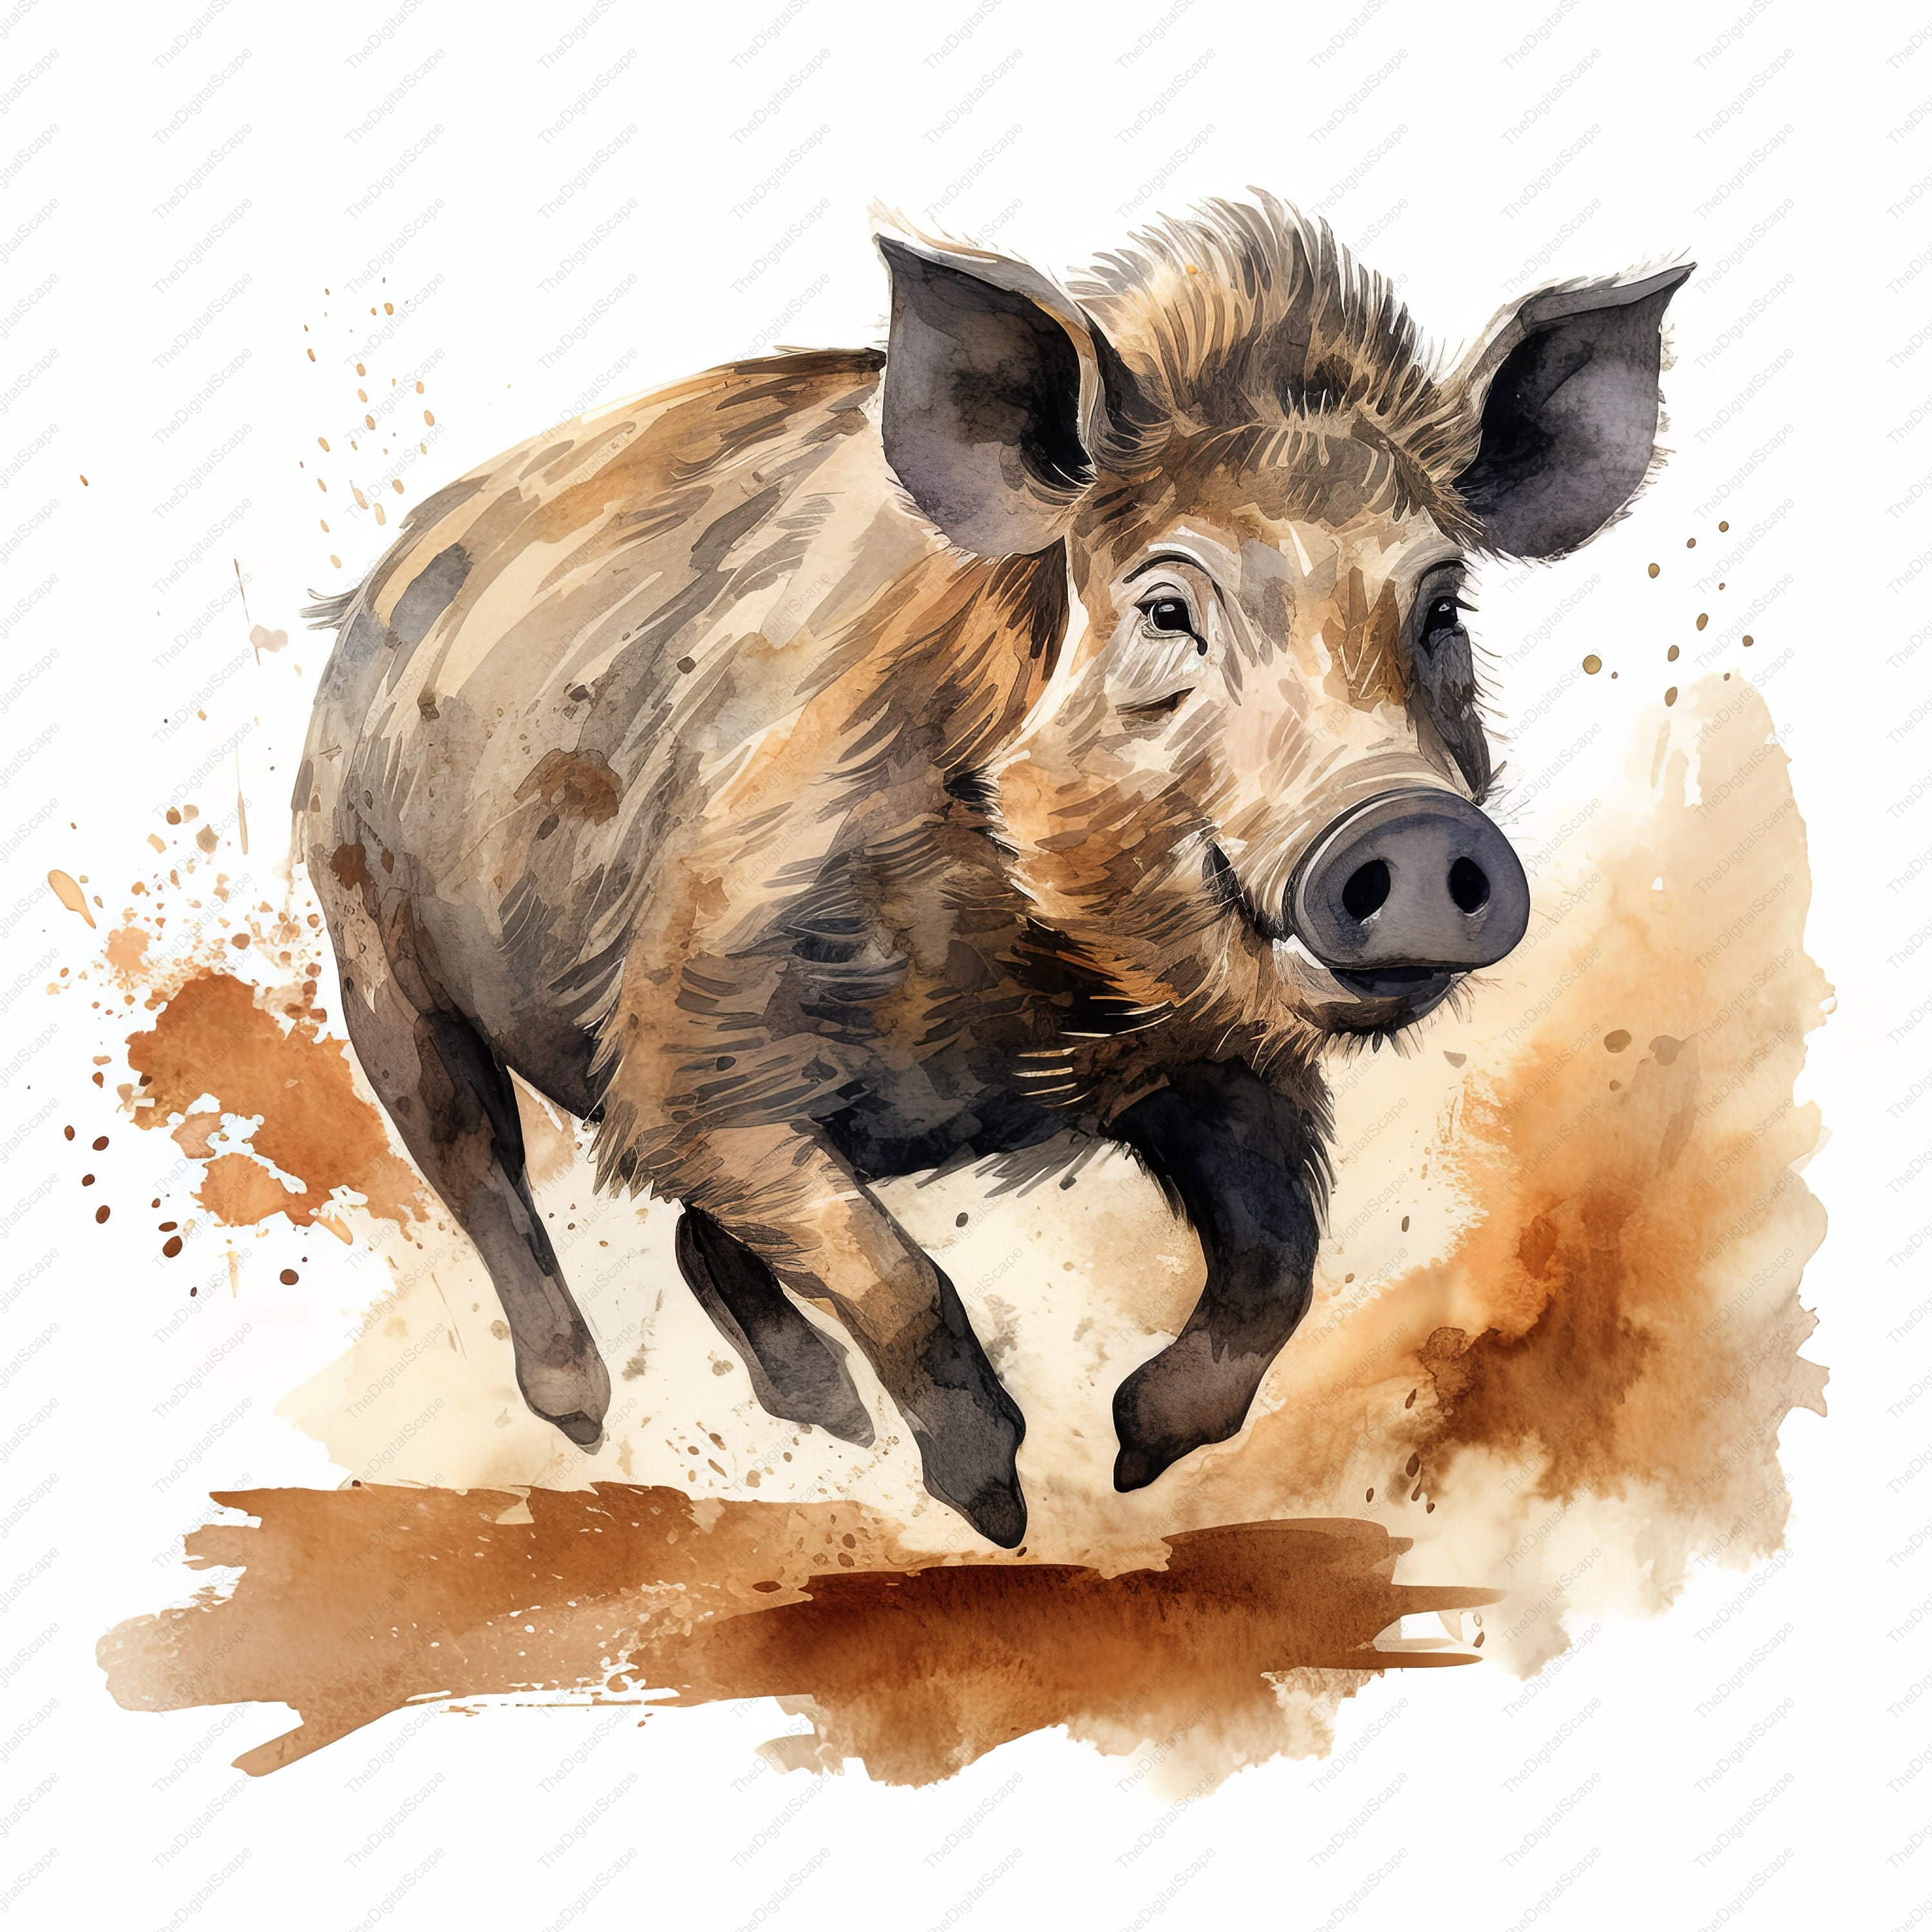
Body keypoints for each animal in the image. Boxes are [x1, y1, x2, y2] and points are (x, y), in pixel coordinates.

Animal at [298, 194, 1688, 1546]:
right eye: (1169, 607)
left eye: (1442, 608)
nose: (1412, 828)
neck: (1020, 1010)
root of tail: (376, 590)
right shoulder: (693, 1033)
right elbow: (900, 1277)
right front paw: (1000, 1515)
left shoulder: (1218, 1064)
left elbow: (1279, 1263)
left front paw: (1132, 1457)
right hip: (372, 948)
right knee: (480, 1169)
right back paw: (585, 1418)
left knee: (696, 1234)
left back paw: (824, 1419)